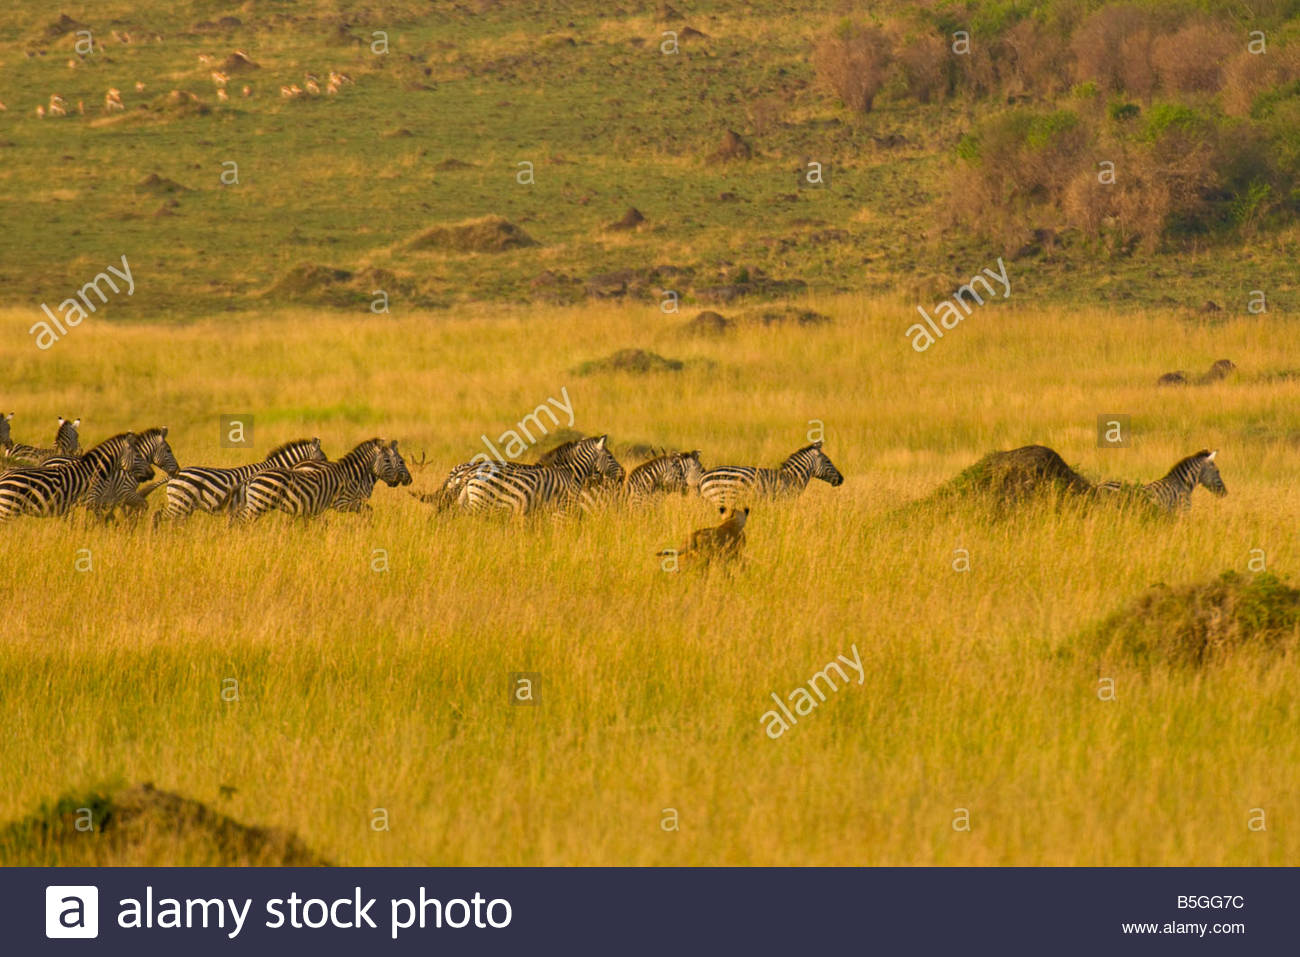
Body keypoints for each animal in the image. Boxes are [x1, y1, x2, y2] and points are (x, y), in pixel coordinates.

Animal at [231, 438, 410, 523]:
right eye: (388, 460)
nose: (406, 480)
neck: (354, 475)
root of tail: (252, 477)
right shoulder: (343, 503)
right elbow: (367, 510)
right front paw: (367, 526)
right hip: (259, 503)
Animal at [457, 435, 620, 515]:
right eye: (610, 457)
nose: (622, 473)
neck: (570, 473)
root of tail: (470, 474)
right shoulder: (563, 505)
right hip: (481, 503)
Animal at [697, 441, 843, 507]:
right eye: (828, 461)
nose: (842, 479)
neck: (793, 477)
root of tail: (703, 477)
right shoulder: (784, 500)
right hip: (723, 498)